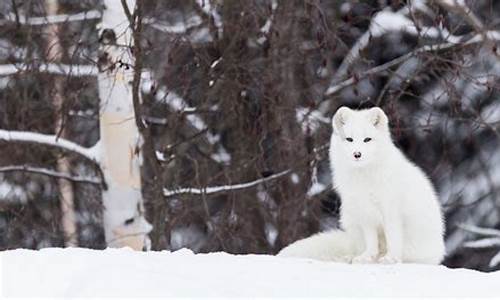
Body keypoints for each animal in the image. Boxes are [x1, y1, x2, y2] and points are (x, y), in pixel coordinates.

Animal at [280, 106, 448, 264]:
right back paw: (354, 257)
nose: (357, 154)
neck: (364, 179)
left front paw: (391, 259)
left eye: (367, 139)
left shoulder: (390, 211)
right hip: (350, 216)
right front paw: (368, 257)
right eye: (349, 139)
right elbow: (371, 240)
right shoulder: (365, 212)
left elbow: (393, 238)